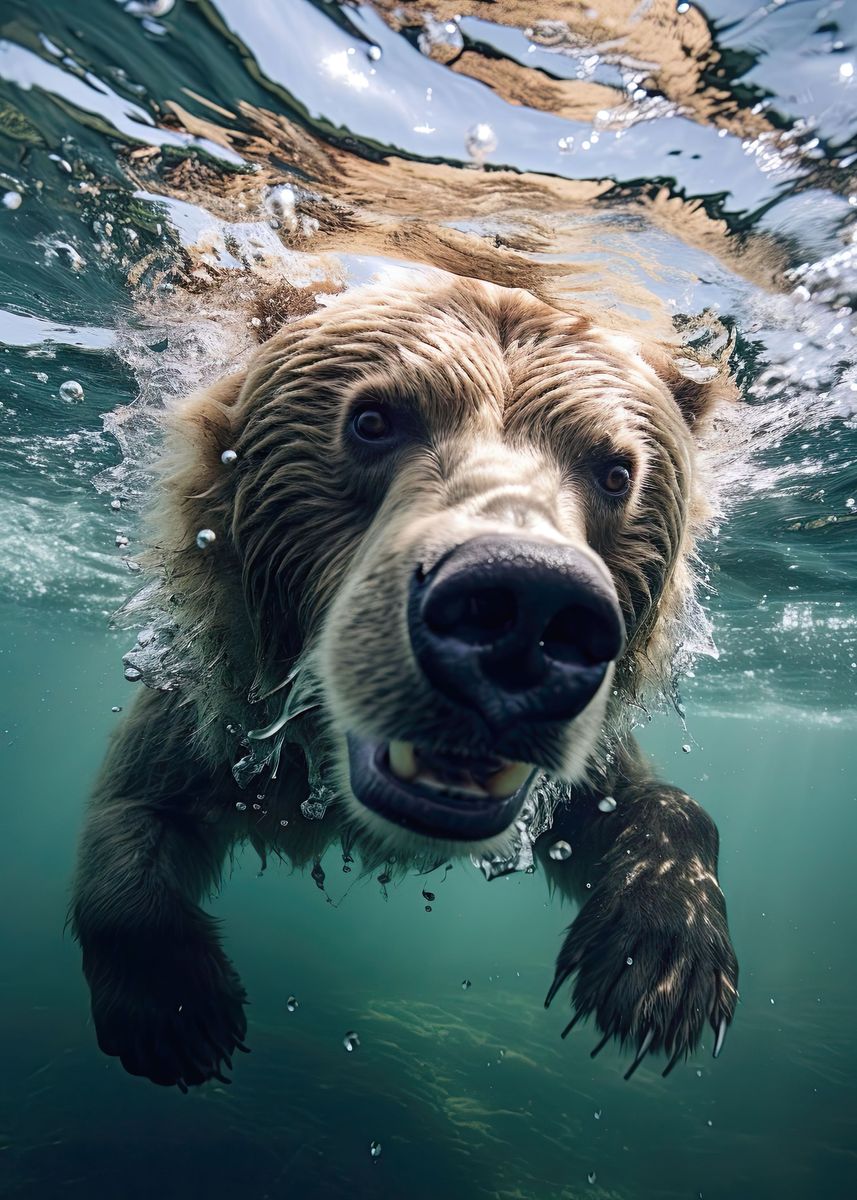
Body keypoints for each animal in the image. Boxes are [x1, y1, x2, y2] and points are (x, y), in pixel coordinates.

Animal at [71, 273, 738, 1091]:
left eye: (616, 471)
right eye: (372, 419)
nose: (526, 605)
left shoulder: (574, 758)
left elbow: (645, 803)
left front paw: (663, 971)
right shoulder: (215, 714)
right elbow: (138, 804)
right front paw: (177, 1011)